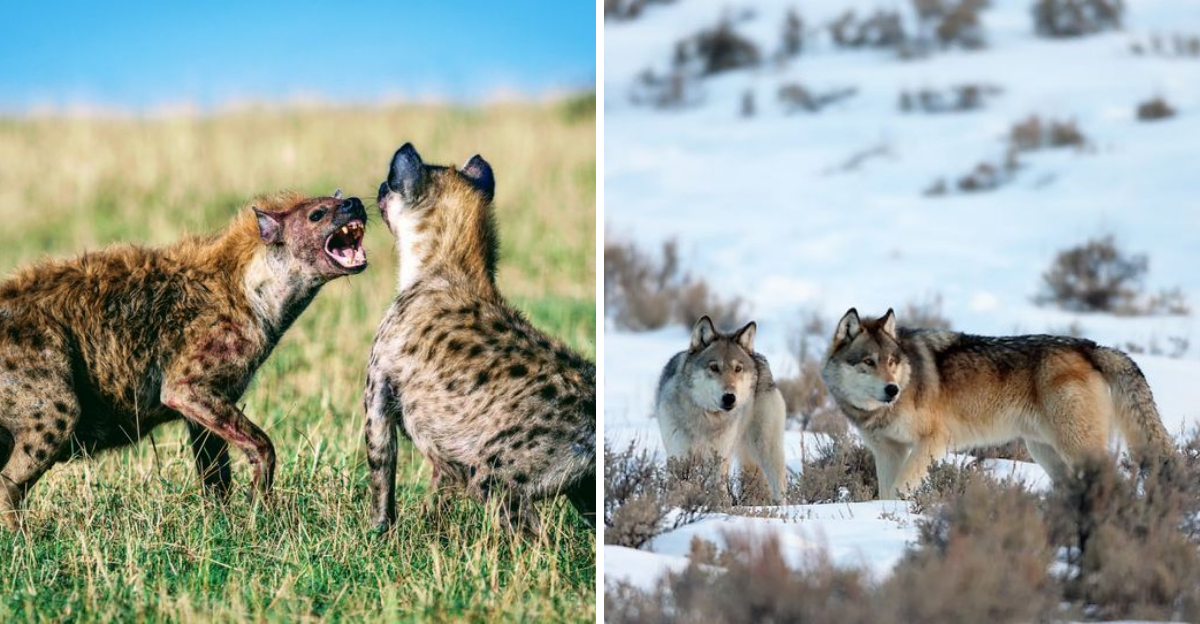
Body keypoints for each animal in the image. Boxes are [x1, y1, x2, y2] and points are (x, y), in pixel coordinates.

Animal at [0, 191, 367, 530]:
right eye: (318, 214)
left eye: (337, 200)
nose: (354, 202)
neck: (254, 291)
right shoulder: (186, 383)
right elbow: (261, 443)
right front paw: (259, 507)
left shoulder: (209, 401)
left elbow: (215, 469)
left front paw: (222, 522)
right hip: (52, 399)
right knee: (11, 477)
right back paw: (24, 539)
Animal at [364, 143, 595, 533]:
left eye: (389, 183)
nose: (378, 186)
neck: (447, 266)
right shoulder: (444, 450)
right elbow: (437, 489)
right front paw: (428, 529)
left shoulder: (379, 384)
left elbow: (381, 464)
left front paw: (380, 532)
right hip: (585, 487)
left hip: (495, 471)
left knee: (529, 534)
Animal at [655, 316, 787, 503]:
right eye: (714, 367)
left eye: (738, 369)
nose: (730, 397)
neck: (707, 418)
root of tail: (757, 356)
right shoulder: (679, 458)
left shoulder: (718, 462)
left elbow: (718, 494)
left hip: (766, 448)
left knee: (779, 488)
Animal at [821, 308, 1176, 498]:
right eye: (868, 362)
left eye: (892, 362)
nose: (892, 389)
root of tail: (1090, 346)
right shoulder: (887, 451)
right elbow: (885, 492)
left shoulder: (933, 441)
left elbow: (900, 488)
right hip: (1045, 452)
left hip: (1074, 446)